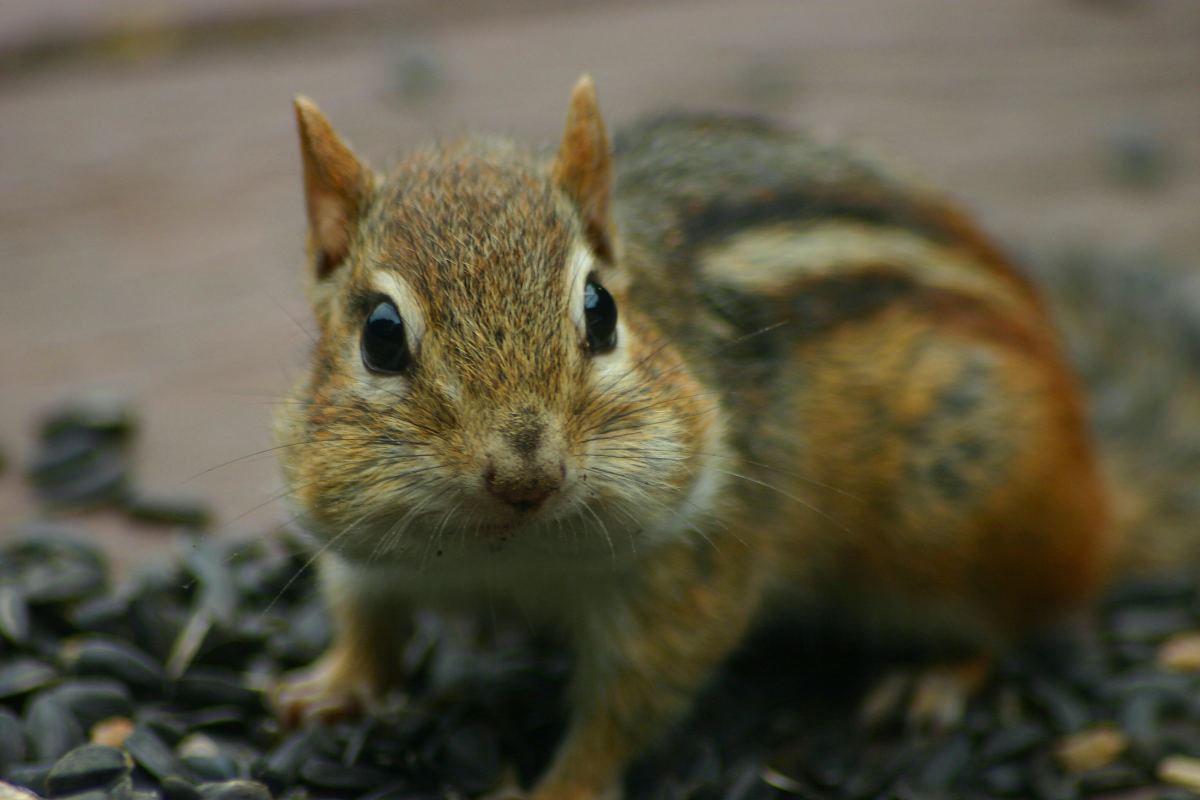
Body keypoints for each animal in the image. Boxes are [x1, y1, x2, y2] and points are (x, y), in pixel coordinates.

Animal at [271, 75, 1120, 799]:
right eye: (380, 335)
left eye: (601, 310)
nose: (526, 477)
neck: (503, 553)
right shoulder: (358, 544)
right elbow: (365, 615)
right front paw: (329, 684)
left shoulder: (690, 570)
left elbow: (627, 705)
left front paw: (565, 785)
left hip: (959, 516)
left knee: (1019, 614)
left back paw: (934, 676)